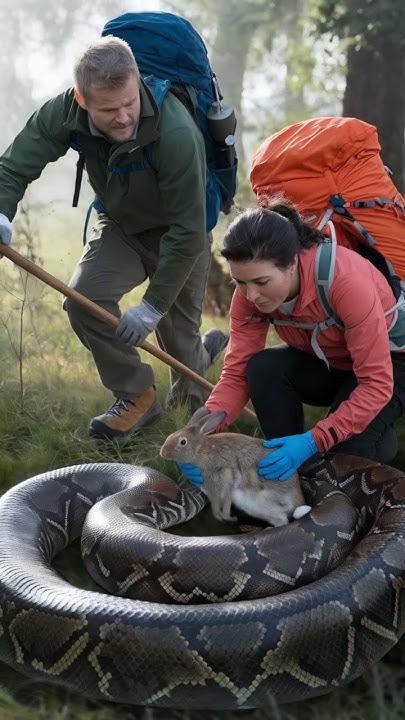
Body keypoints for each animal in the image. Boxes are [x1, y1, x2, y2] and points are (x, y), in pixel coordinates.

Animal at [160, 410, 311, 526]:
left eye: (182, 442)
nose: (163, 452)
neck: (199, 450)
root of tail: (298, 500)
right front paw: (224, 518)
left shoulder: (225, 478)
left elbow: (223, 503)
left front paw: (226, 518)